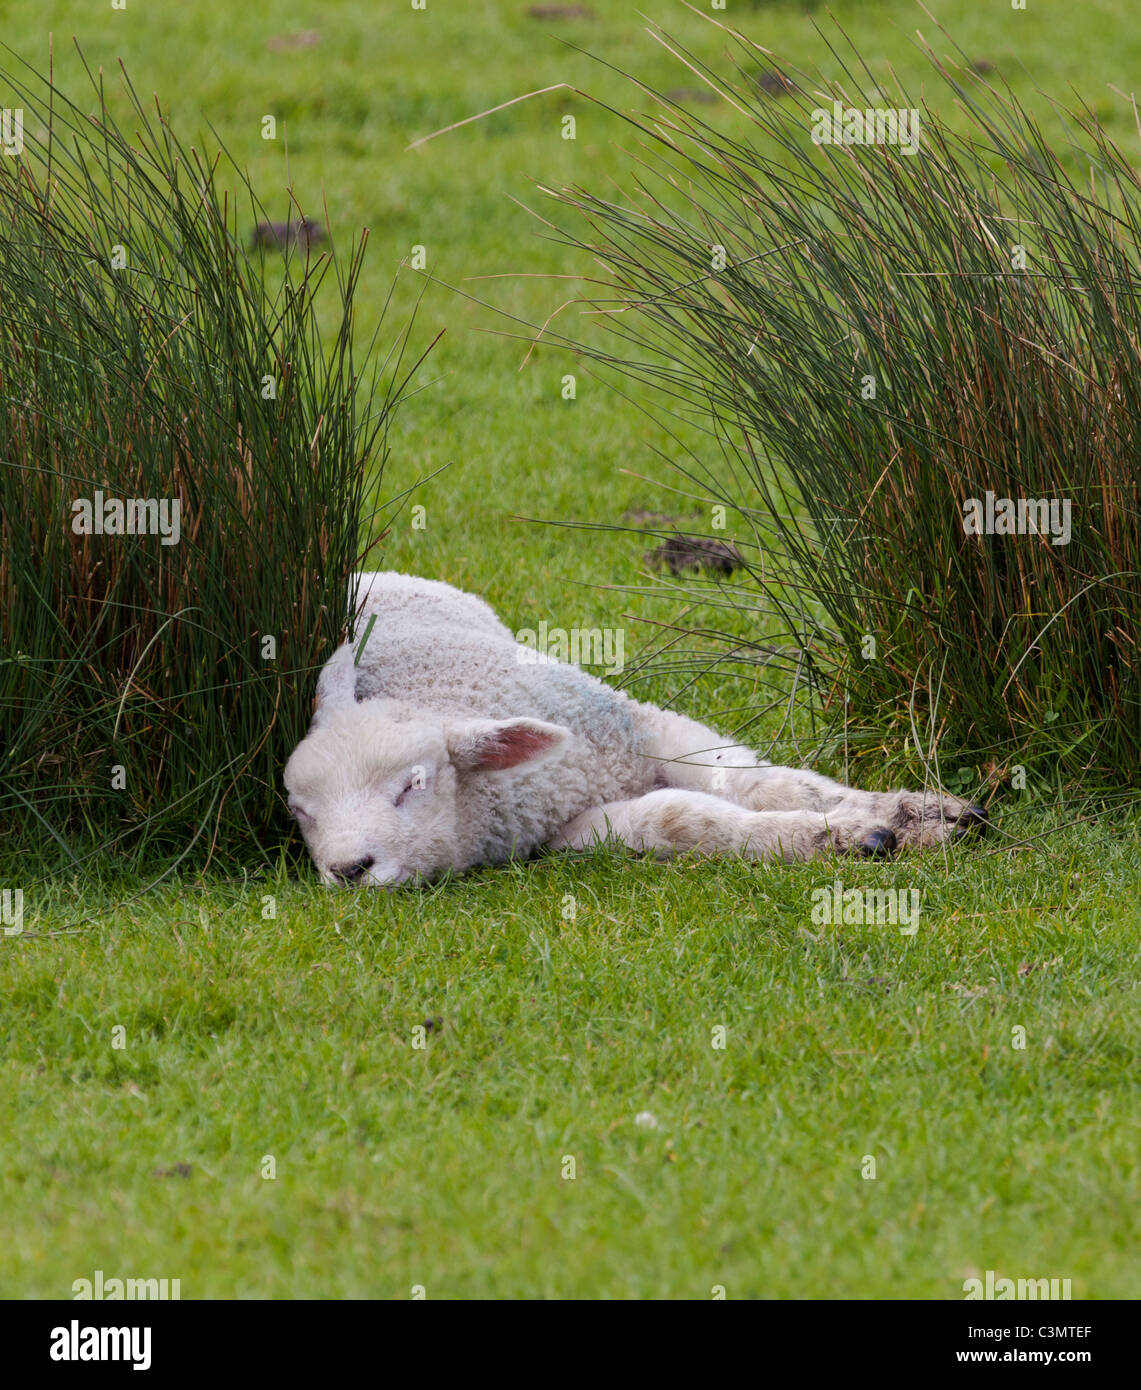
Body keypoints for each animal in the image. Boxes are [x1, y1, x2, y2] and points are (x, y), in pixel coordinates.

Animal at [282, 571, 987, 886]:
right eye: (299, 811)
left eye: (414, 785)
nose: (347, 868)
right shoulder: (558, 834)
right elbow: (676, 817)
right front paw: (834, 836)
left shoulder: (640, 725)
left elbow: (757, 779)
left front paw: (904, 812)